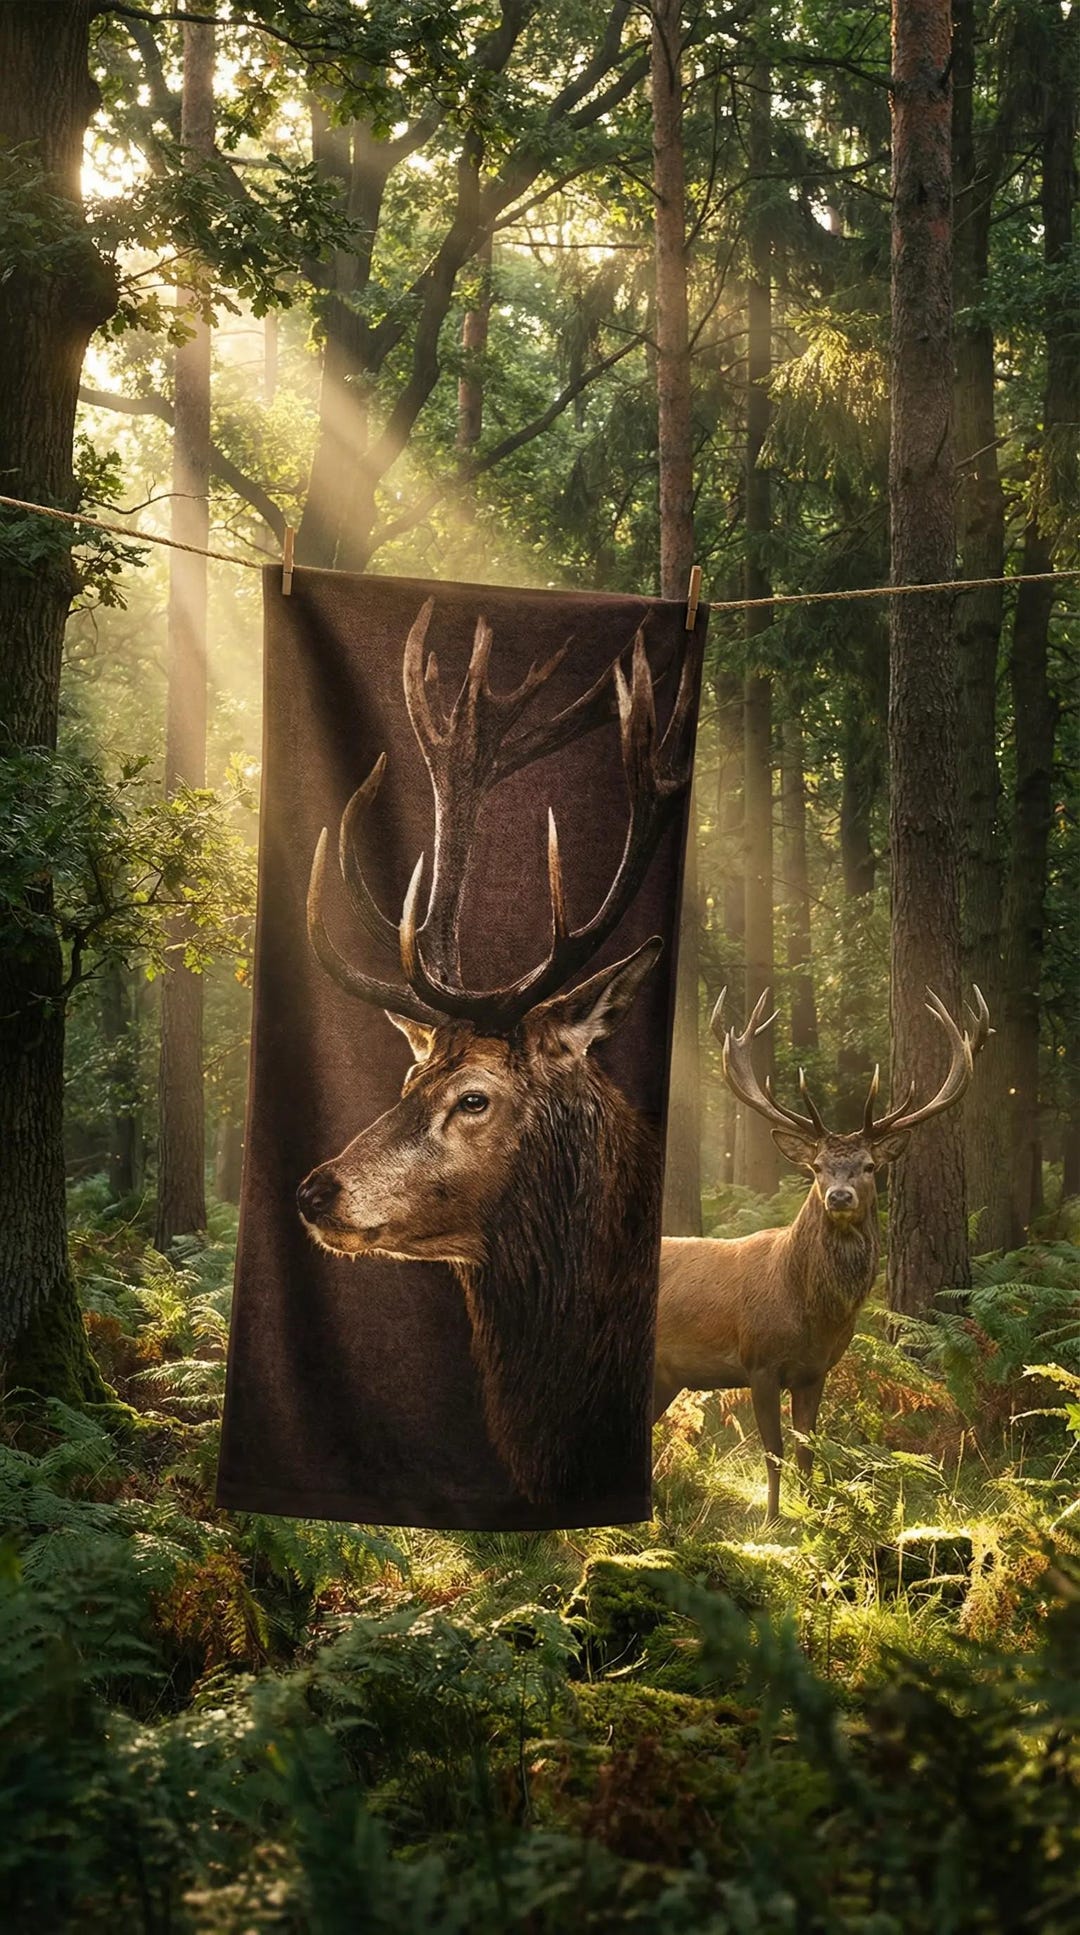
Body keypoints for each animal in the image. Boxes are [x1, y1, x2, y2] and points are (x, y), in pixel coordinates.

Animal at [654, 984, 991, 1523]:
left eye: (870, 1166)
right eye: (816, 1166)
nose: (839, 1196)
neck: (809, 1313)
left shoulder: (816, 1371)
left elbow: (807, 1448)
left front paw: (814, 1514)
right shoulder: (759, 1362)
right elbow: (773, 1450)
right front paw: (773, 1521)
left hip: (666, 1376)